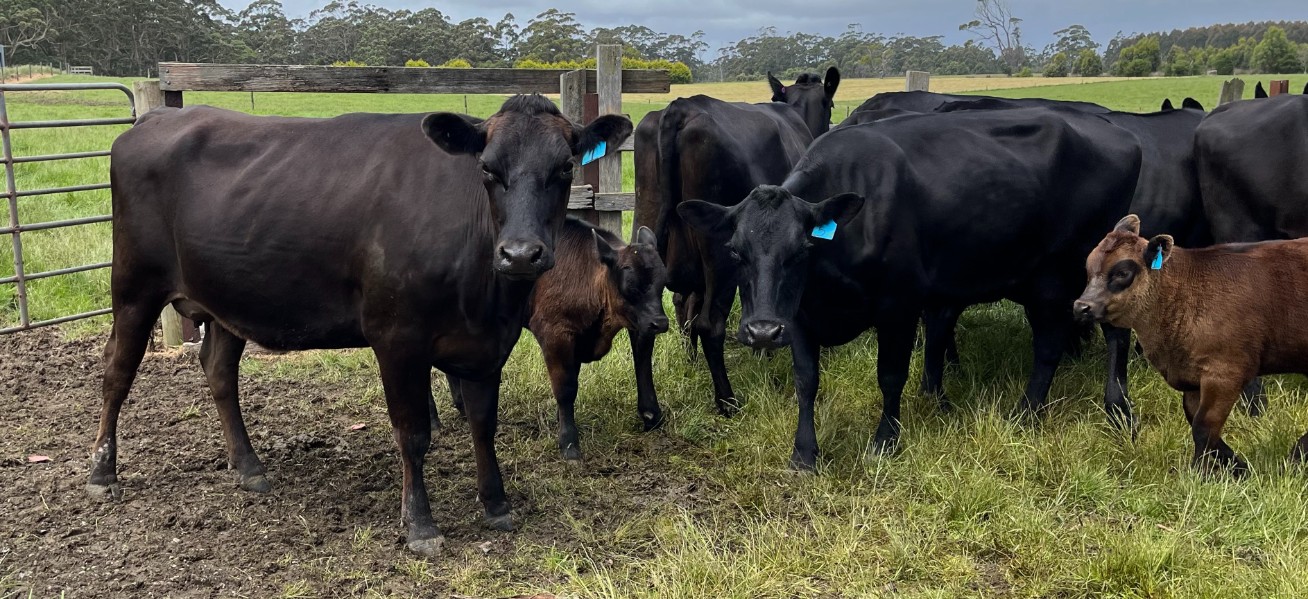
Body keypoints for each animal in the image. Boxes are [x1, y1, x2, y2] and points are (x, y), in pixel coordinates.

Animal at [95, 95, 633, 556]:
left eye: (565, 167)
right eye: (486, 168)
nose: (520, 253)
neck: (486, 295)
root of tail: (157, 118)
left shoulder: (486, 344)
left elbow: (484, 425)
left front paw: (496, 504)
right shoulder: (396, 340)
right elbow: (413, 434)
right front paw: (420, 525)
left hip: (227, 297)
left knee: (219, 371)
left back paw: (248, 468)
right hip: (134, 285)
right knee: (117, 370)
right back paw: (103, 473)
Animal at [448, 218, 669, 462]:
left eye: (663, 283)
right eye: (630, 286)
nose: (660, 323)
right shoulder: (554, 332)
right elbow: (565, 387)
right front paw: (569, 442)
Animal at [631, 69, 839, 416]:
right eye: (832, 104)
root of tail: (680, 106)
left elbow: (686, 306)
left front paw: (693, 362)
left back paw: (650, 409)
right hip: (719, 257)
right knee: (710, 324)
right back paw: (727, 400)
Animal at [677, 107, 1141, 470]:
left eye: (803, 248)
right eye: (736, 251)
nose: (761, 332)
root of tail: (1119, 133)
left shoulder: (898, 308)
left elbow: (890, 375)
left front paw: (885, 440)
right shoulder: (800, 316)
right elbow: (806, 381)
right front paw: (804, 453)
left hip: (1070, 270)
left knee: (1068, 341)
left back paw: (1053, 412)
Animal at [1074, 215, 1308, 476]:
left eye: (1122, 272)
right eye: (1088, 268)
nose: (1082, 306)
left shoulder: (1225, 374)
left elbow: (1203, 427)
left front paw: (1199, 474)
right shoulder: (1192, 378)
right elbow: (1195, 419)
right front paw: (1239, 467)